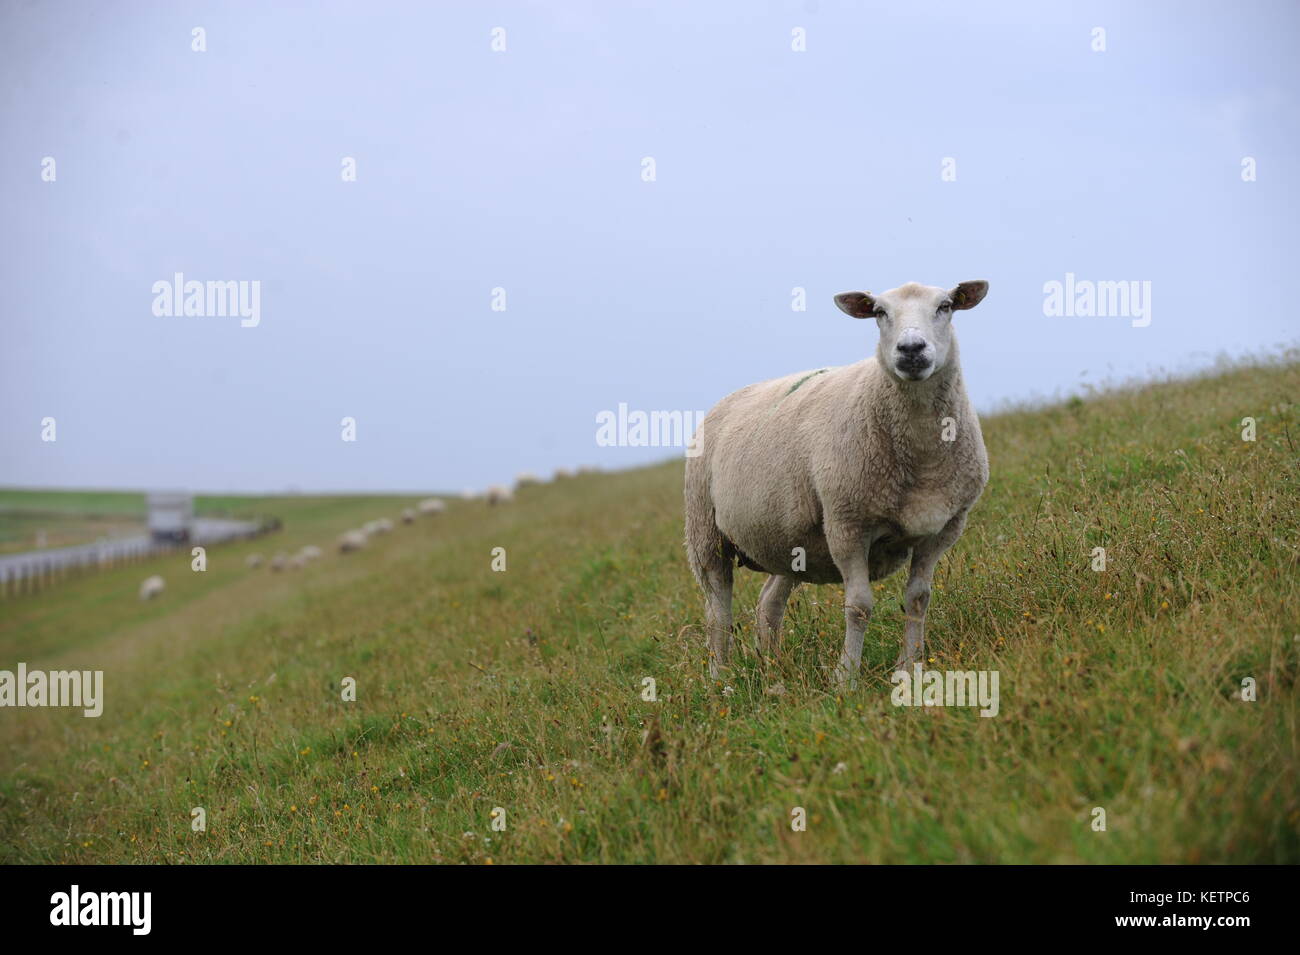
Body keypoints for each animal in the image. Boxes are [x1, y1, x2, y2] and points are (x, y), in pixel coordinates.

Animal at [684, 280, 990, 688]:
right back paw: (722, 679)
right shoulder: (847, 524)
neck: (922, 457)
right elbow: (859, 607)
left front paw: (909, 669)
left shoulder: (945, 528)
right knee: (718, 613)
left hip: (789, 541)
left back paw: (775, 673)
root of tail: (728, 398)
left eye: (945, 306)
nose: (911, 349)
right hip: (705, 531)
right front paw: (846, 679)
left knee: (769, 604)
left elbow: (918, 599)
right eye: (879, 312)